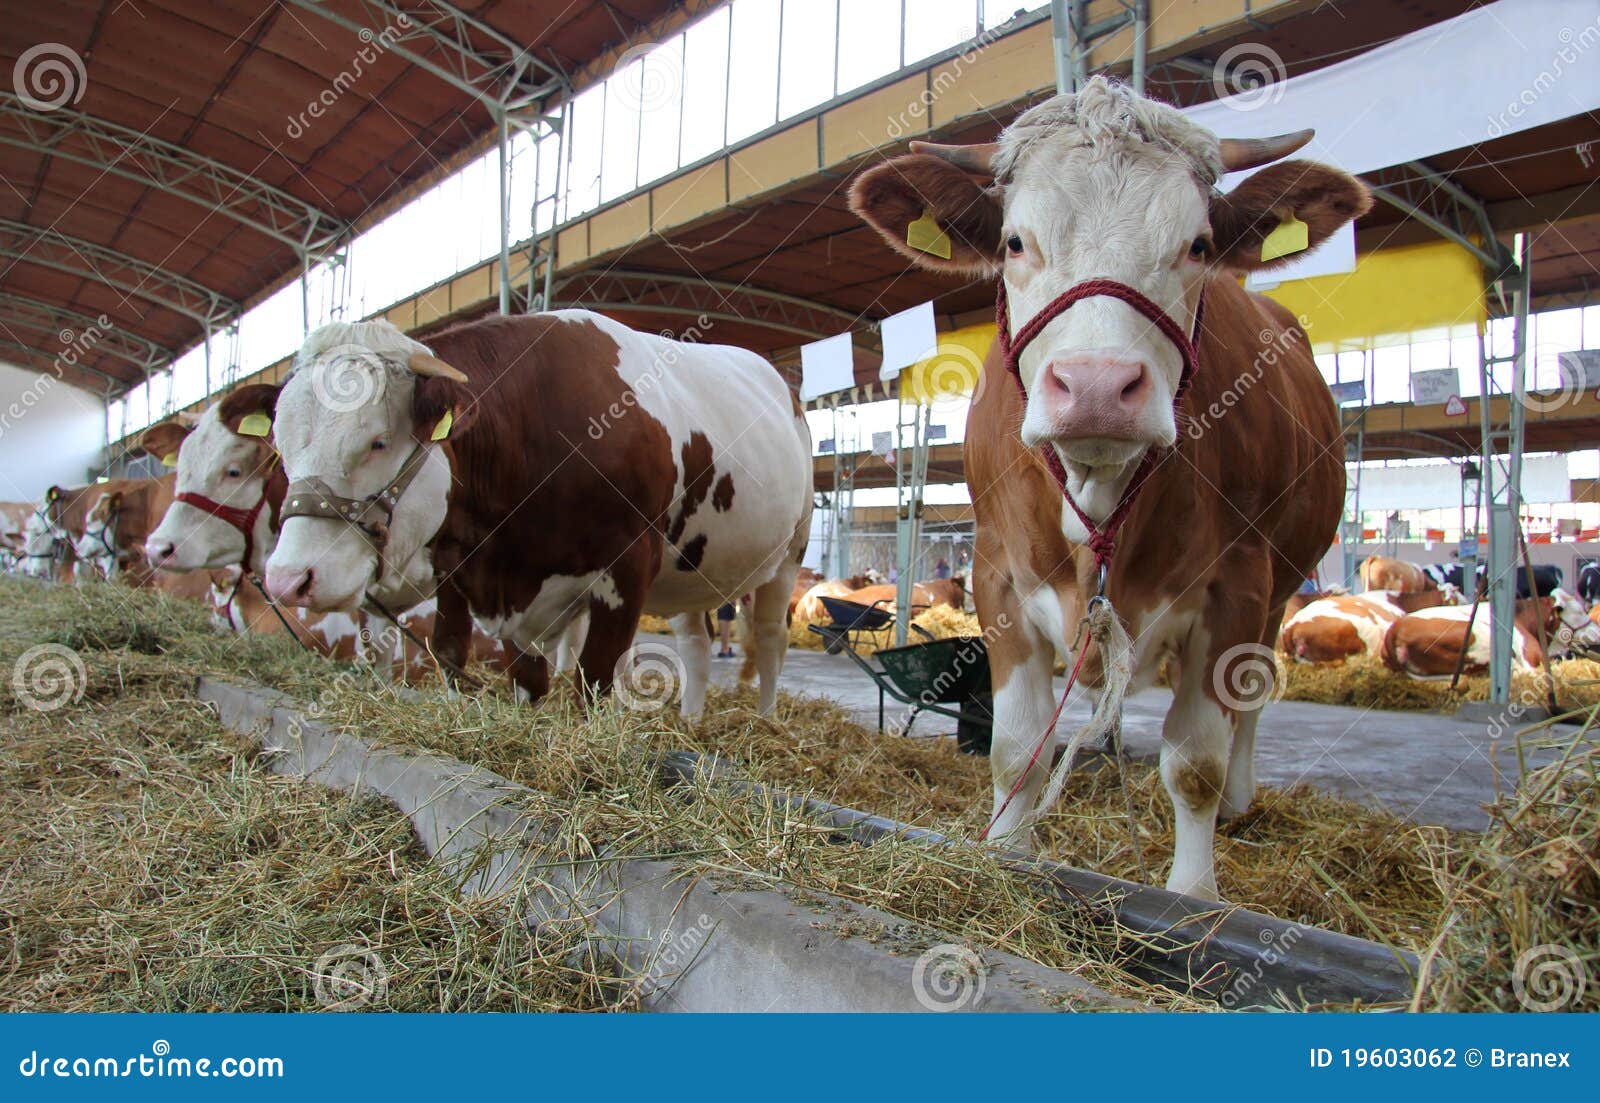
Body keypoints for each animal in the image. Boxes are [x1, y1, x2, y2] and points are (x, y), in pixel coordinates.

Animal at [259, 312, 813, 715]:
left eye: (378, 441)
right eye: (280, 448)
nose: (287, 580)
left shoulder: (629, 566)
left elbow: (594, 679)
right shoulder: (465, 570)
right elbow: (474, 658)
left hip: (789, 555)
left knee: (771, 641)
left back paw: (764, 720)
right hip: (690, 571)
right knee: (697, 644)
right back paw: (691, 721)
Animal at [850, 77, 1370, 898]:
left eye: (1198, 245)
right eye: (1014, 242)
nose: (1097, 387)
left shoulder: (1237, 584)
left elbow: (1195, 761)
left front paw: (1194, 895)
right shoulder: (998, 575)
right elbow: (1016, 748)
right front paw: (1007, 854)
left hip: (1283, 587)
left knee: (1251, 700)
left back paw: (1241, 803)